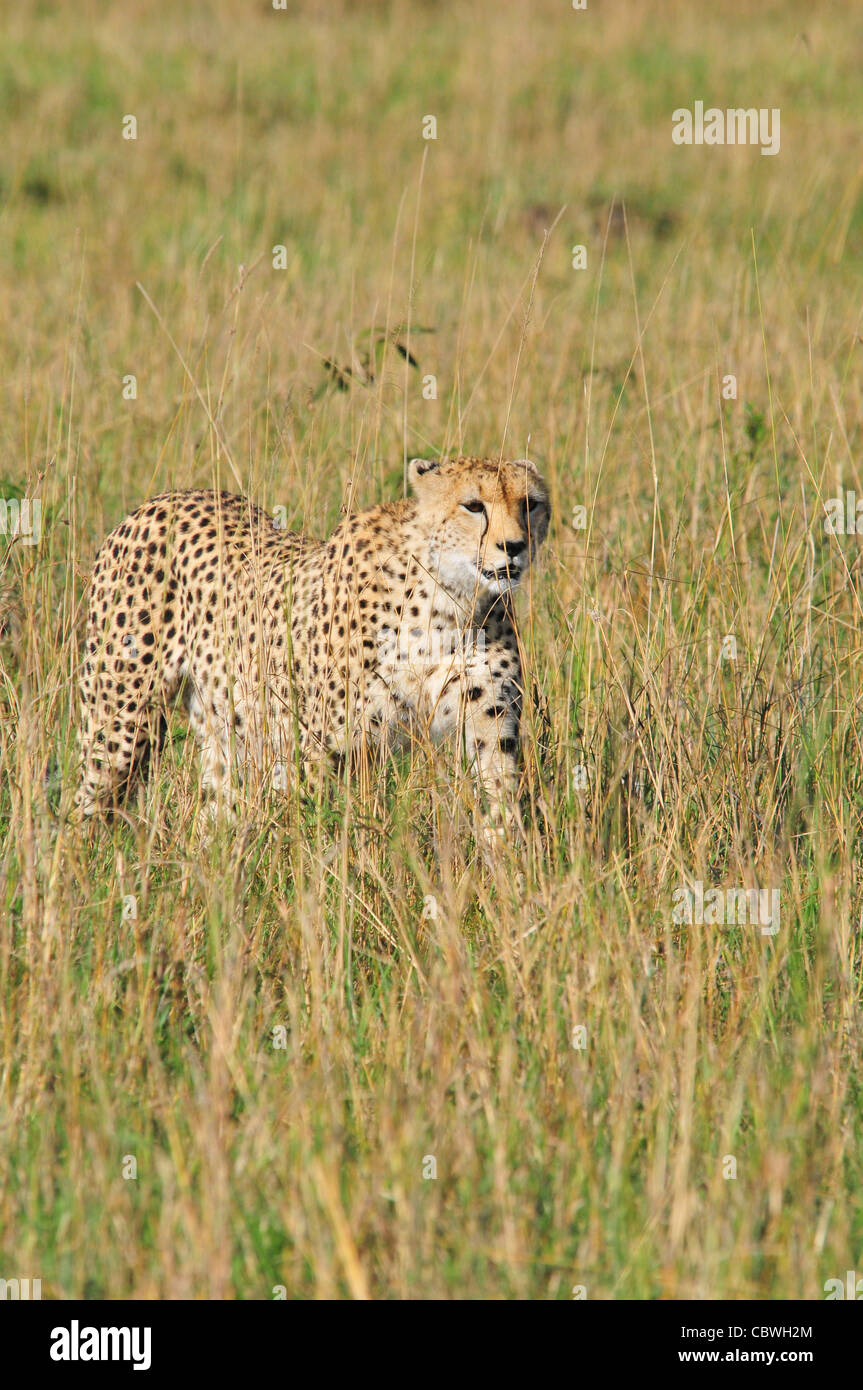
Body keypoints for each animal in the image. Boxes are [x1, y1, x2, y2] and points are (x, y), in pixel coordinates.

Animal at [75, 455, 550, 842]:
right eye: (474, 506)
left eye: (530, 504)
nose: (514, 547)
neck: (451, 598)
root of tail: (166, 497)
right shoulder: (320, 744)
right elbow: (315, 828)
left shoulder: (491, 720)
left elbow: (500, 797)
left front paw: (508, 873)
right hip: (120, 720)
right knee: (87, 801)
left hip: (227, 727)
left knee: (218, 808)